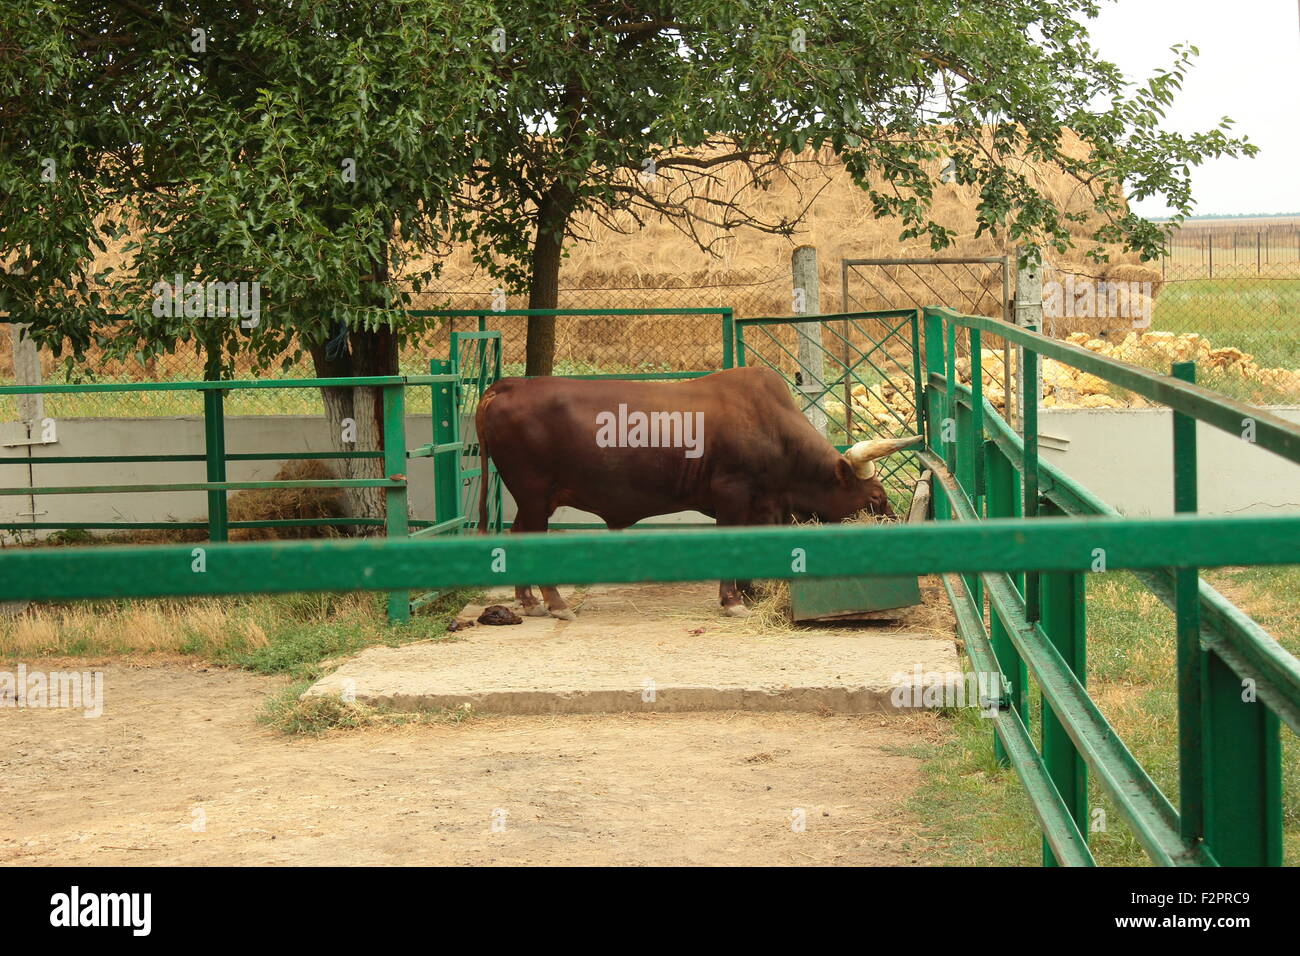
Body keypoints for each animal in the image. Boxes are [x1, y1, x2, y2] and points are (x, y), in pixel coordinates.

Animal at [475, 366, 921, 619]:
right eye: (875, 498)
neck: (774, 428)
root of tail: (510, 386)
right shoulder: (732, 494)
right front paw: (733, 600)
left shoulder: (763, 504)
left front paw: (750, 591)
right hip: (534, 492)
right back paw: (556, 604)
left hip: (532, 498)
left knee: (517, 535)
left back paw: (529, 602)